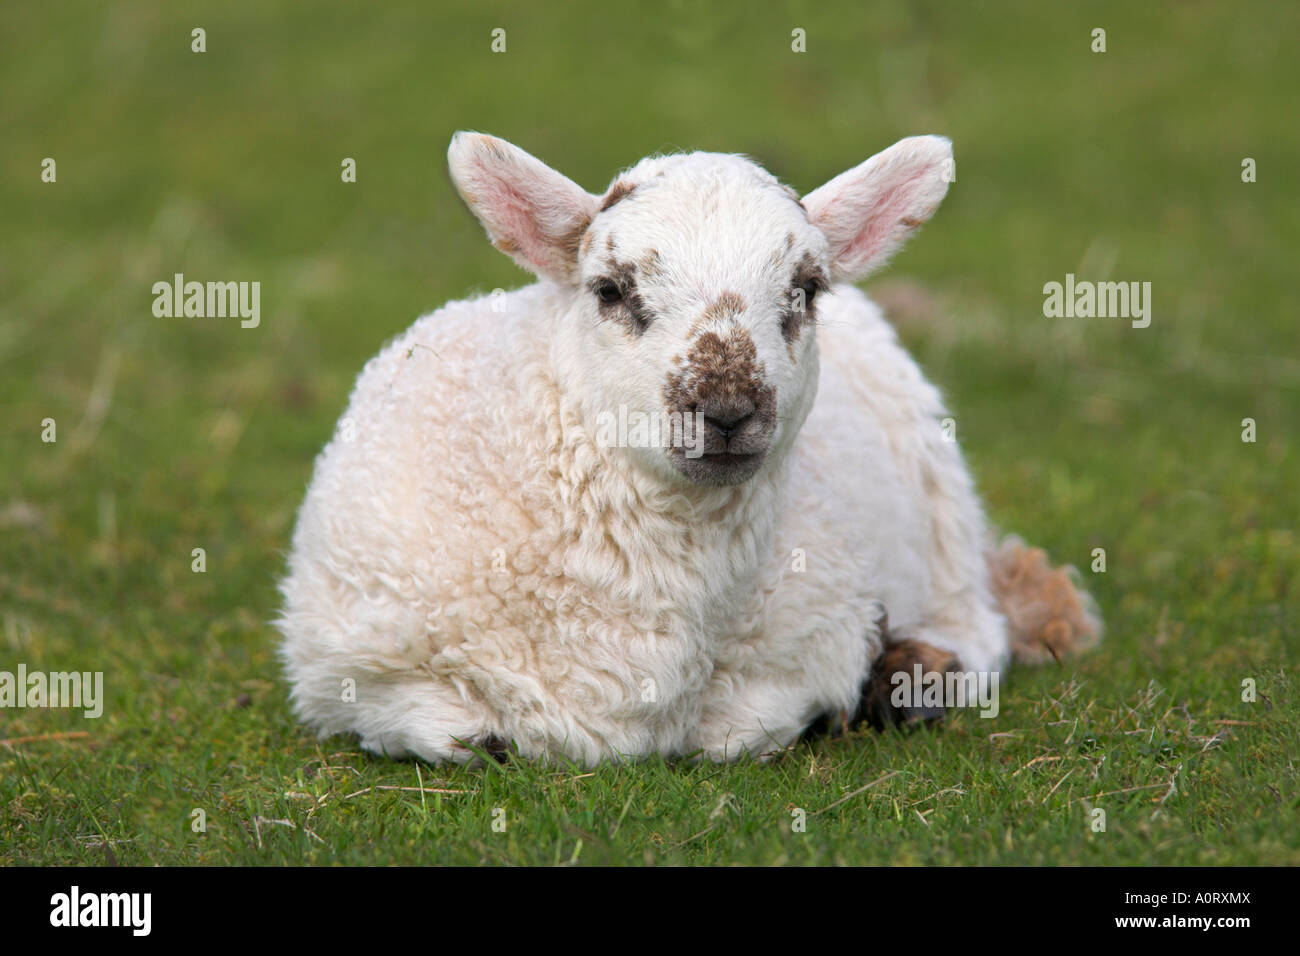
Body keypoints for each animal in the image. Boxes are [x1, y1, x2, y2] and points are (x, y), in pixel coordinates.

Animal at [276, 132, 1101, 765]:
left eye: (806, 289)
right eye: (610, 289)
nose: (728, 409)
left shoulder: (806, 646)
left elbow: (739, 731)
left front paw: (861, 685)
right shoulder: (346, 666)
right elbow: (460, 733)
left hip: (943, 525)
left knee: (980, 631)